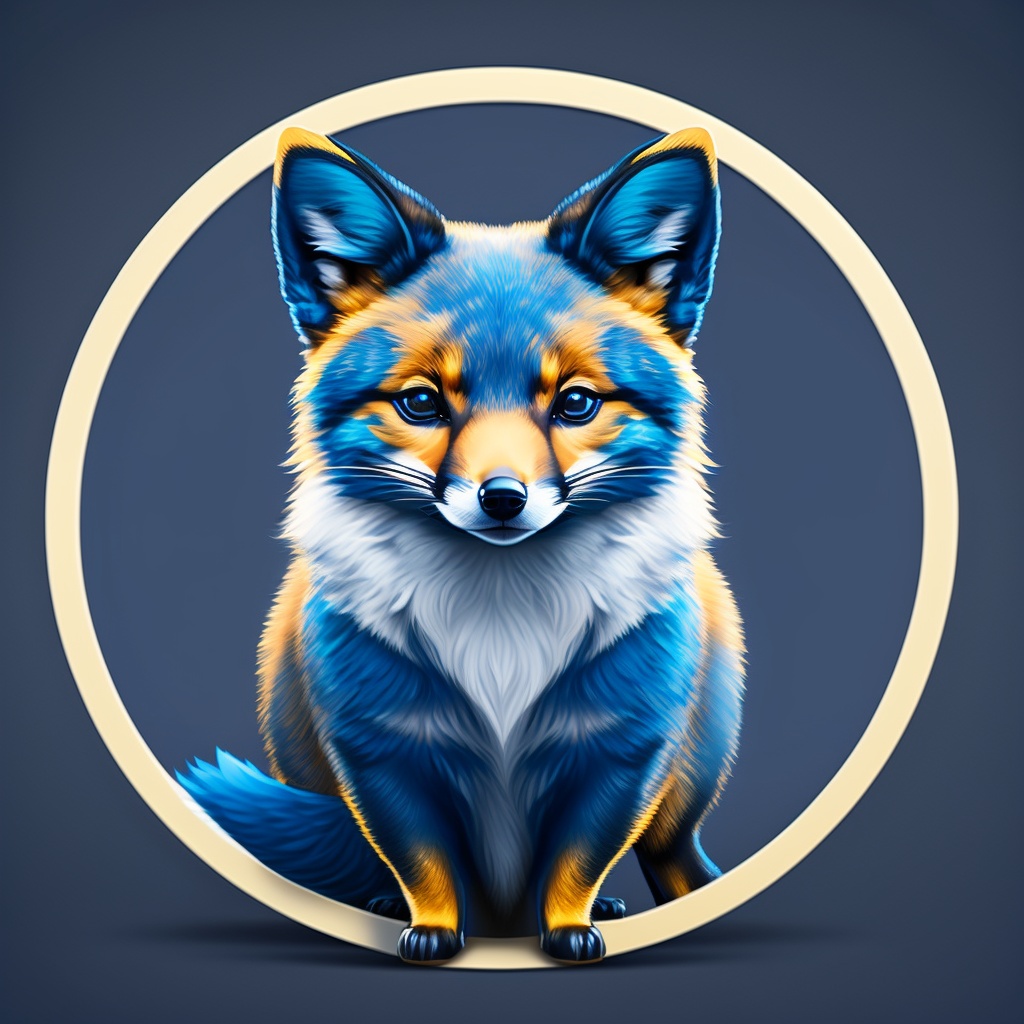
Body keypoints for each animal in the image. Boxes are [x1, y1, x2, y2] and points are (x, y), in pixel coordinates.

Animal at [178, 125, 745, 965]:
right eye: (421, 402)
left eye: (576, 402)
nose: (502, 499)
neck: (501, 630)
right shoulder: (380, 752)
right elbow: (424, 861)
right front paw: (431, 929)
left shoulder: (624, 750)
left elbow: (575, 861)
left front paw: (570, 927)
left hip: (696, 762)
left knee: (674, 852)